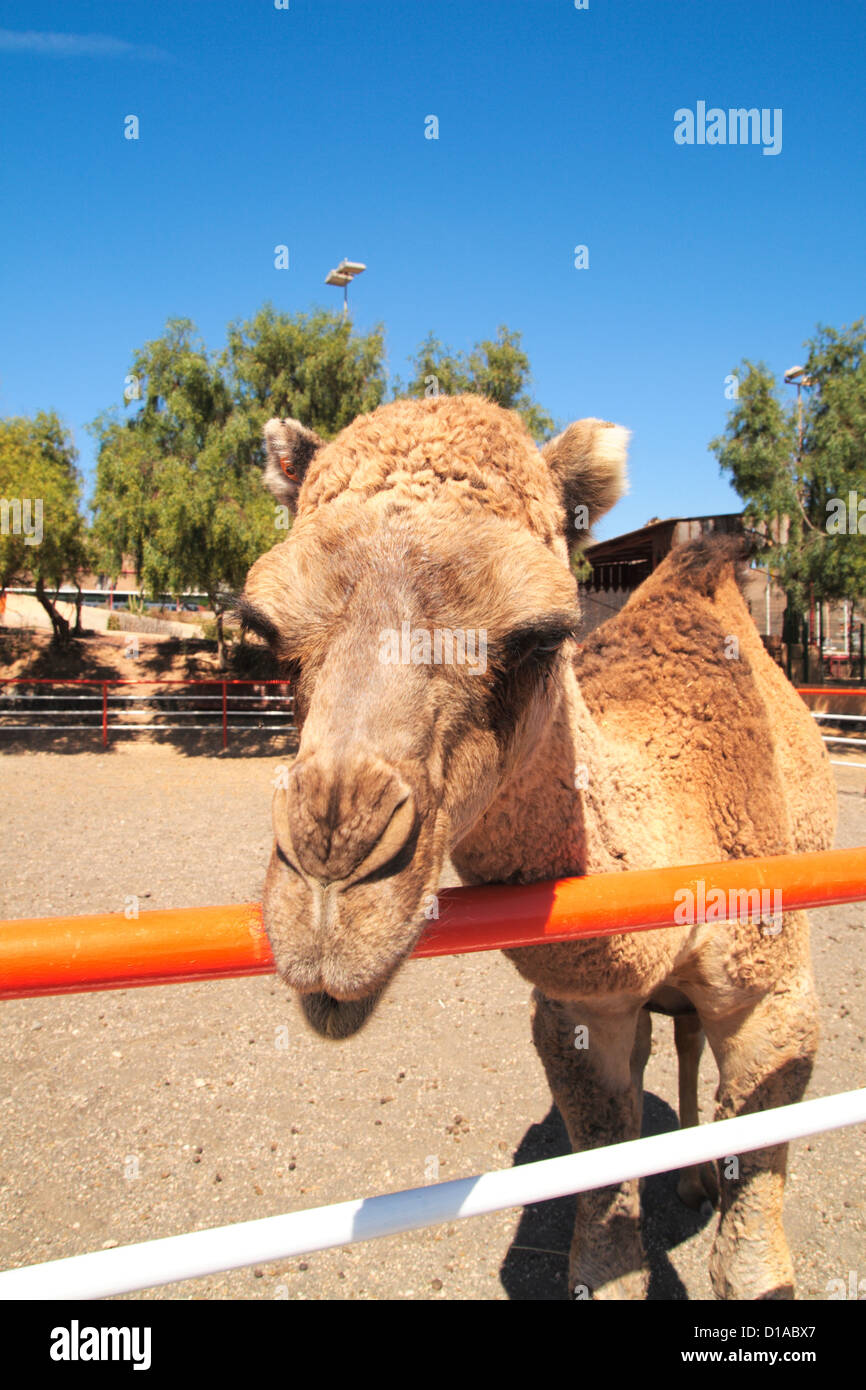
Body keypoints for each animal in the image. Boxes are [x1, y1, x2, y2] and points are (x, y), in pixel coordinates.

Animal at [240, 394, 837, 1300]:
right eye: (265, 632)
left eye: (542, 636)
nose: (330, 893)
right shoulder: (580, 1013)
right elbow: (606, 1252)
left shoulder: (778, 997)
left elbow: (754, 1266)